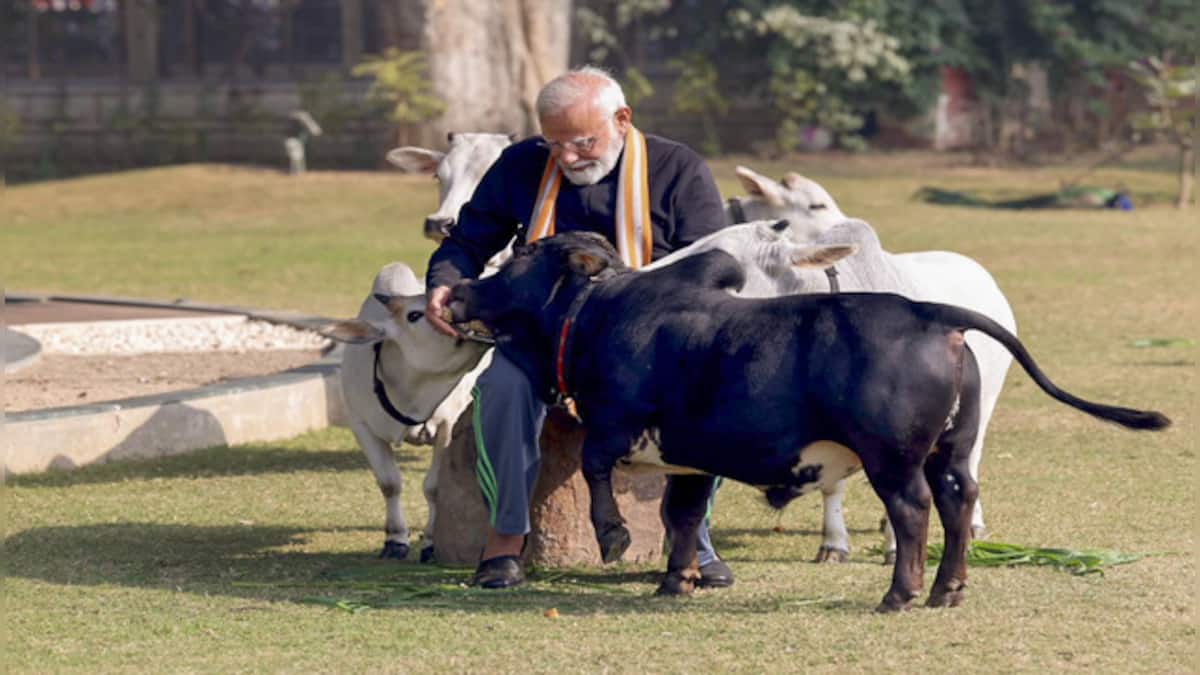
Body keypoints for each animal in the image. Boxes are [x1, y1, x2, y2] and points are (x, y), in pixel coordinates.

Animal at [445, 231, 1169, 612]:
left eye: (518, 258)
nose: (459, 291)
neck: (599, 312)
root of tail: (925, 310)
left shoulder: (617, 422)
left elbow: (598, 468)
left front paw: (616, 535)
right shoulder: (692, 454)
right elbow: (681, 516)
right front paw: (675, 579)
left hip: (892, 459)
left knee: (913, 513)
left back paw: (900, 593)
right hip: (950, 450)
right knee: (958, 504)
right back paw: (947, 588)